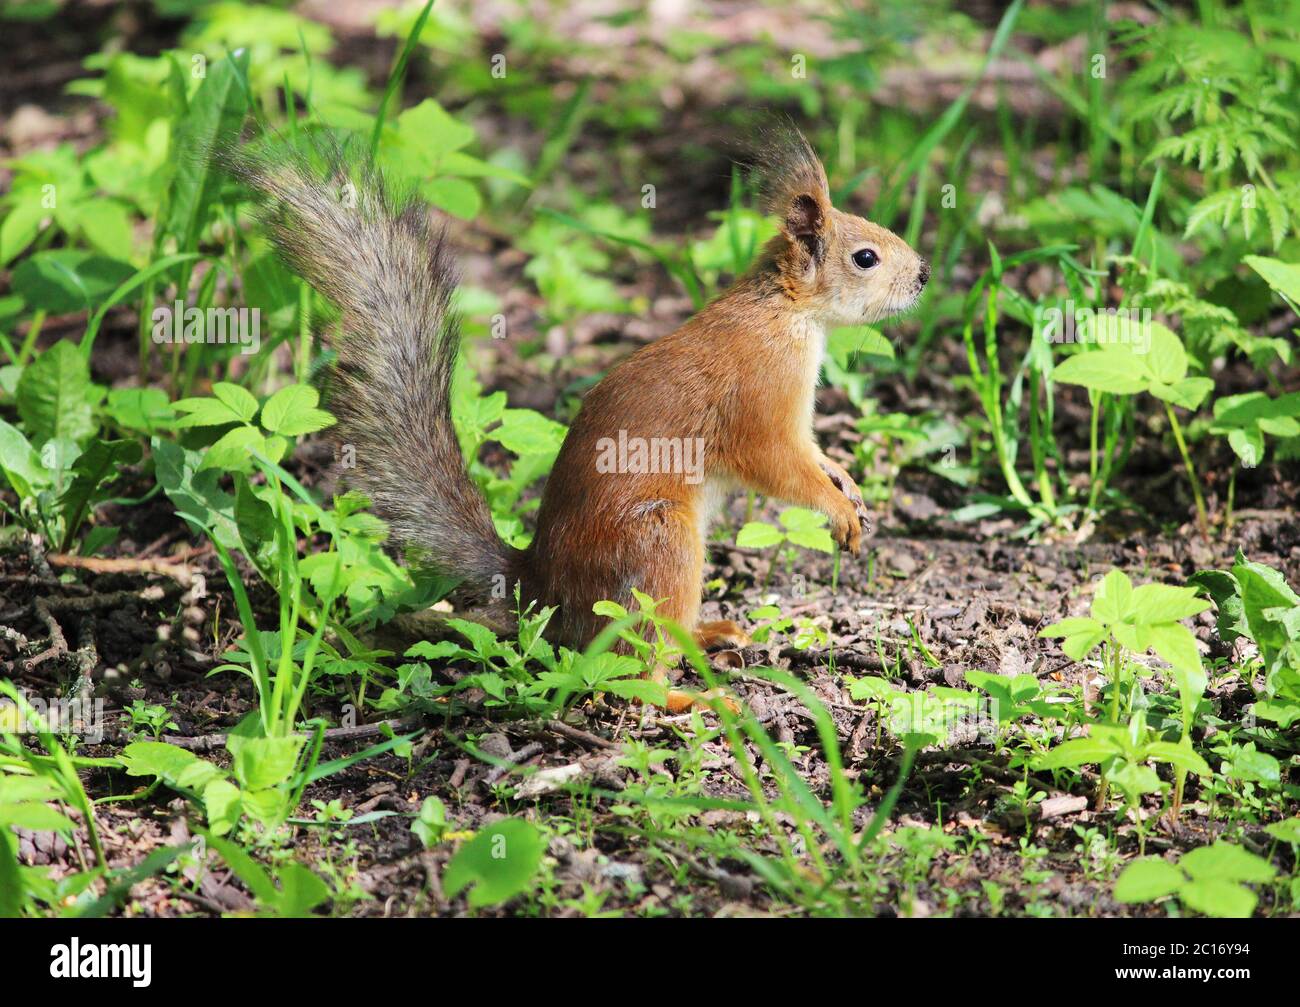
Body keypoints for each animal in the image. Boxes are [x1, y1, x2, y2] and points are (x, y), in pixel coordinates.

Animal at [233, 127, 928, 706]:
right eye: (865, 257)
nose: (922, 274)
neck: (785, 310)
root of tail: (541, 584)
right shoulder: (760, 399)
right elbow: (779, 464)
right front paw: (837, 510)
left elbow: (815, 456)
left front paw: (847, 486)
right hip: (658, 549)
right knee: (631, 672)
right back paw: (692, 699)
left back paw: (710, 635)